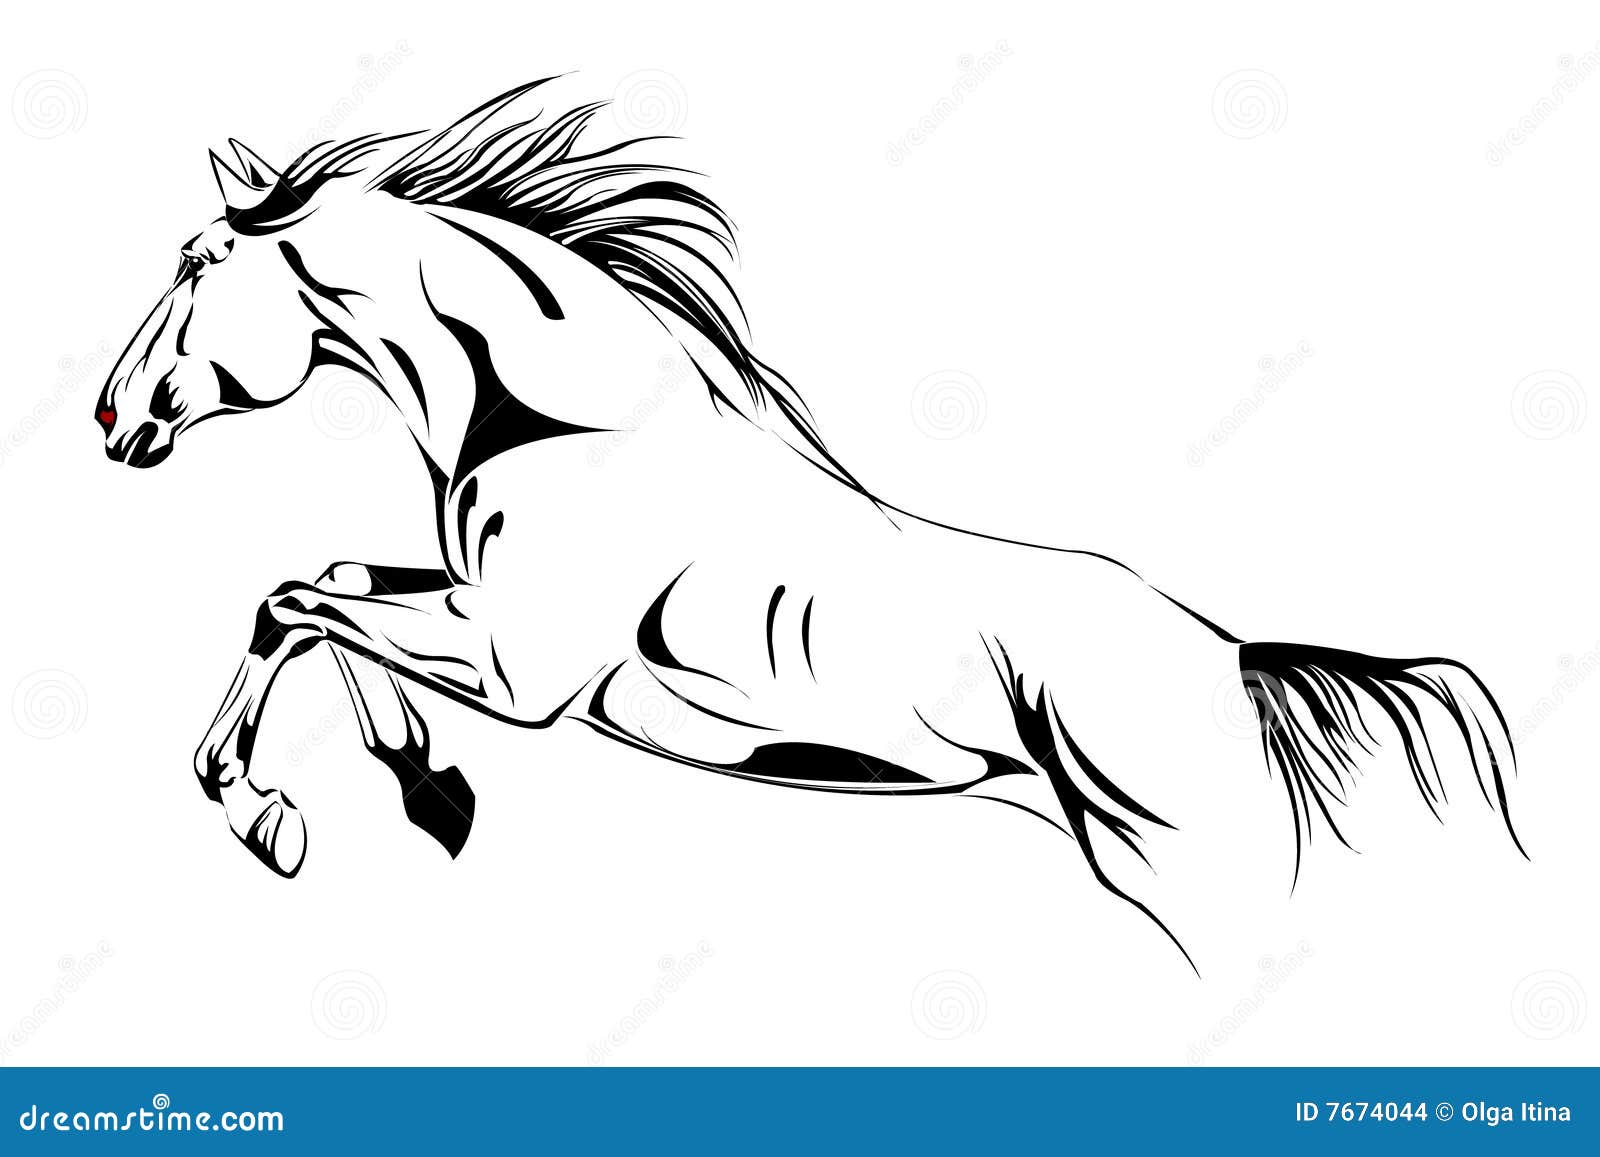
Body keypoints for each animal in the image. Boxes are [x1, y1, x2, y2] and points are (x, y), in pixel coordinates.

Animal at [97, 80, 1524, 969]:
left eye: (195, 263)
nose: (112, 419)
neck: (560, 422)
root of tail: (1233, 657)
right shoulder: (468, 605)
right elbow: (324, 578)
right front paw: (416, 782)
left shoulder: (522, 669)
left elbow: (295, 594)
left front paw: (282, 809)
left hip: (1187, 863)